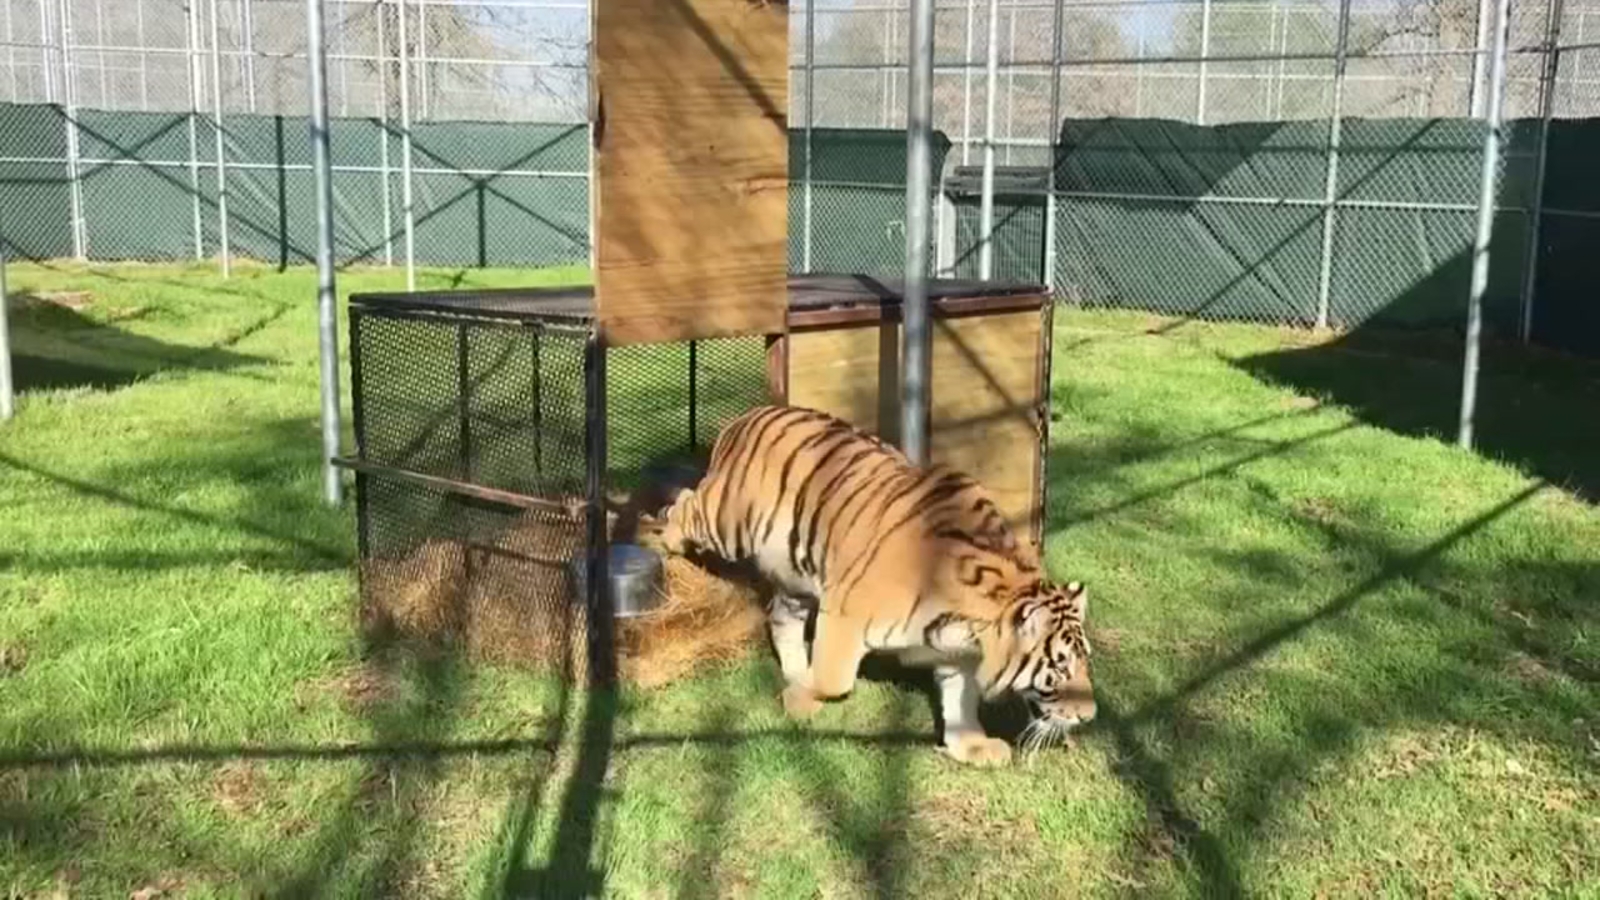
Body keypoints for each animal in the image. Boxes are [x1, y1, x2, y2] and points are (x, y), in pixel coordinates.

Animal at [637, 404, 1096, 766]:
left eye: (1084, 661)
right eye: (1059, 667)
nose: (1089, 717)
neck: (972, 624)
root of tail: (747, 415)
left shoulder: (959, 654)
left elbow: (960, 700)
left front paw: (972, 746)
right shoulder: (844, 613)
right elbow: (834, 682)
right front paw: (800, 700)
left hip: (793, 574)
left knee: (780, 619)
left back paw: (794, 671)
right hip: (727, 524)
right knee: (687, 500)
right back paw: (663, 535)